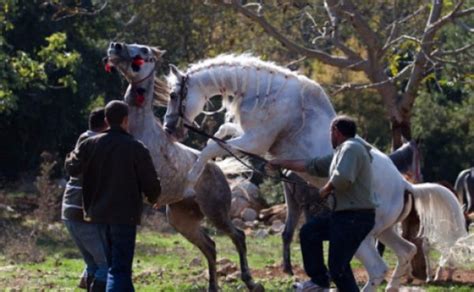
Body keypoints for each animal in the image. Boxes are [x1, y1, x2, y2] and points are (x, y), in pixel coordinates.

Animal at [103, 45, 262, 292]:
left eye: (144, 50)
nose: (115, 47)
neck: (139, 129)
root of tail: (217, 169)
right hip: (182, 220)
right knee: (210, 246)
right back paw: (213, 287)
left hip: (216, 213)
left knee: (238, 237)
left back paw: (250, 281)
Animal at [163, 54, 466, 292]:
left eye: (174, 95)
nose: (169, 128)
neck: (267, 95)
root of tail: (406, 186)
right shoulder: (251, 139)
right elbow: (222, 132)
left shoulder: (256, 141)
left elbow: (212, 144)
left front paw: (193, 178)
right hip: (385, 231)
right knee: (406, 253)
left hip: (363, 237)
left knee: (377, 267)